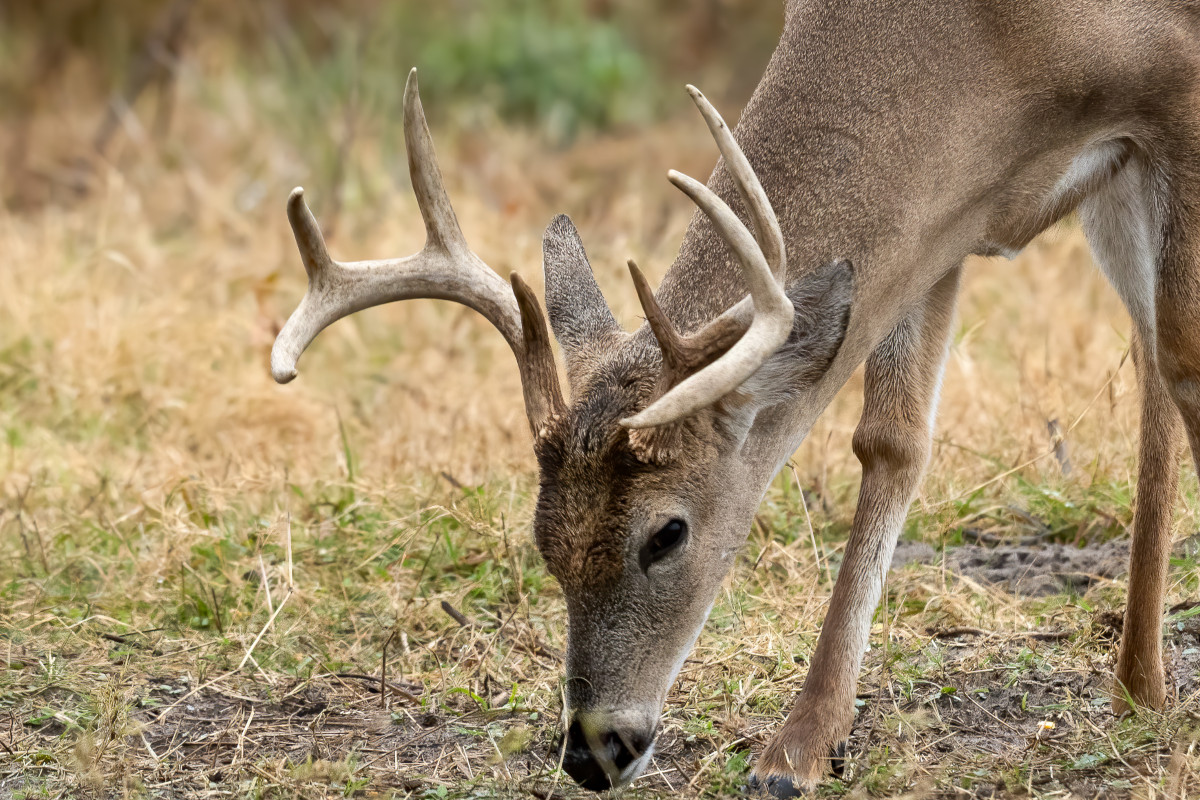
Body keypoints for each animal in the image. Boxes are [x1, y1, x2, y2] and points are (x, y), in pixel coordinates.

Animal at [271, 2, 1200, 795]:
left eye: (667, 533)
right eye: (543, 540)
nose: (592, 751)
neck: (991, 50)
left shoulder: (1174, 96)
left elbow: (1187, 356)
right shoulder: (946, 222)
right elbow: (893, 438)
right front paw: (799, 748)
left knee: (1159, 353)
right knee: (1142, 352)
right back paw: (1138, 687)